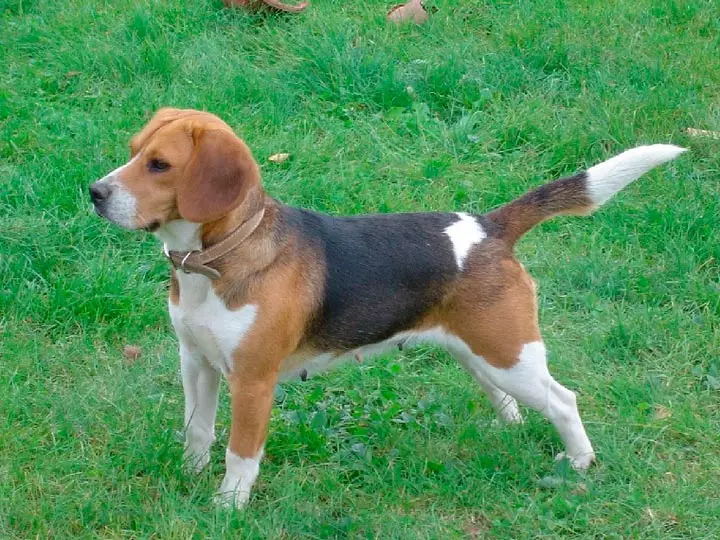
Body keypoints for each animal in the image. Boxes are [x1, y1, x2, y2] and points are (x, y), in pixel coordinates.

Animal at [90, 107, 688, 508]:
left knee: (563, 401)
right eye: (133, 149)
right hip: (480, 353)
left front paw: (226, 507)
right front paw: (190, 478)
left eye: (160, 165)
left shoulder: (253, 382)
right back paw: (510, 432)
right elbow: (198, 430)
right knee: (509, 399)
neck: (217, 258)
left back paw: (580, 462)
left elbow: (241, 452)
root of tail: (489, 227)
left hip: (509, 356)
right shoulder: (196, 361)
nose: (94, 192)